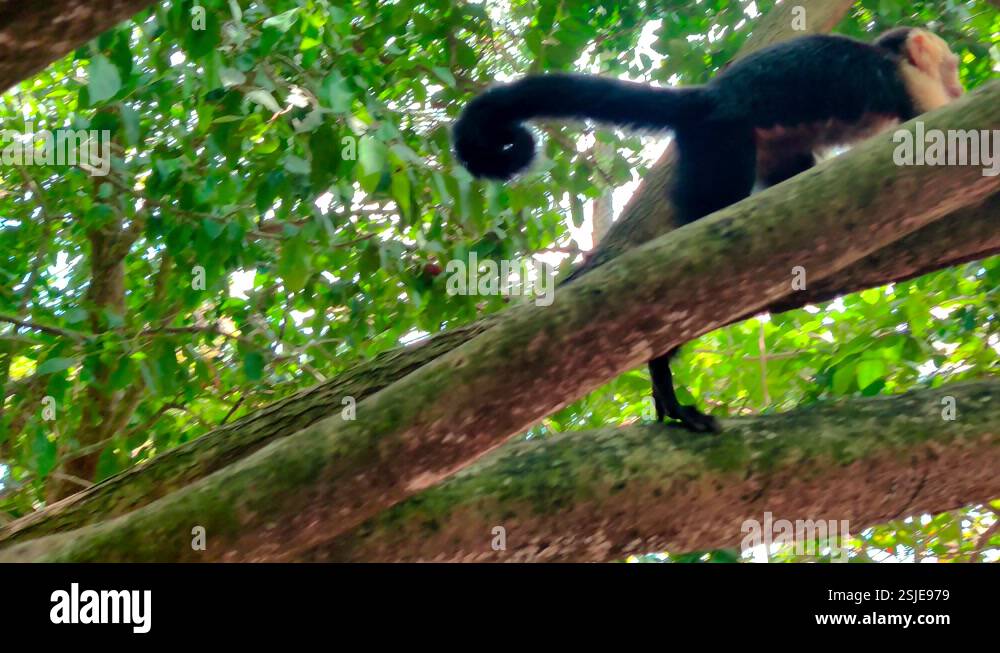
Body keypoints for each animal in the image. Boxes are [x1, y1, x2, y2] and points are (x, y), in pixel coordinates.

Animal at [451, 27, 964, 433]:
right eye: (954, 67)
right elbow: (936, 146)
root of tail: (708, 97)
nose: (960, 86)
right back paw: (663, 372)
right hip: (722, 143)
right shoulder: (909, 85)